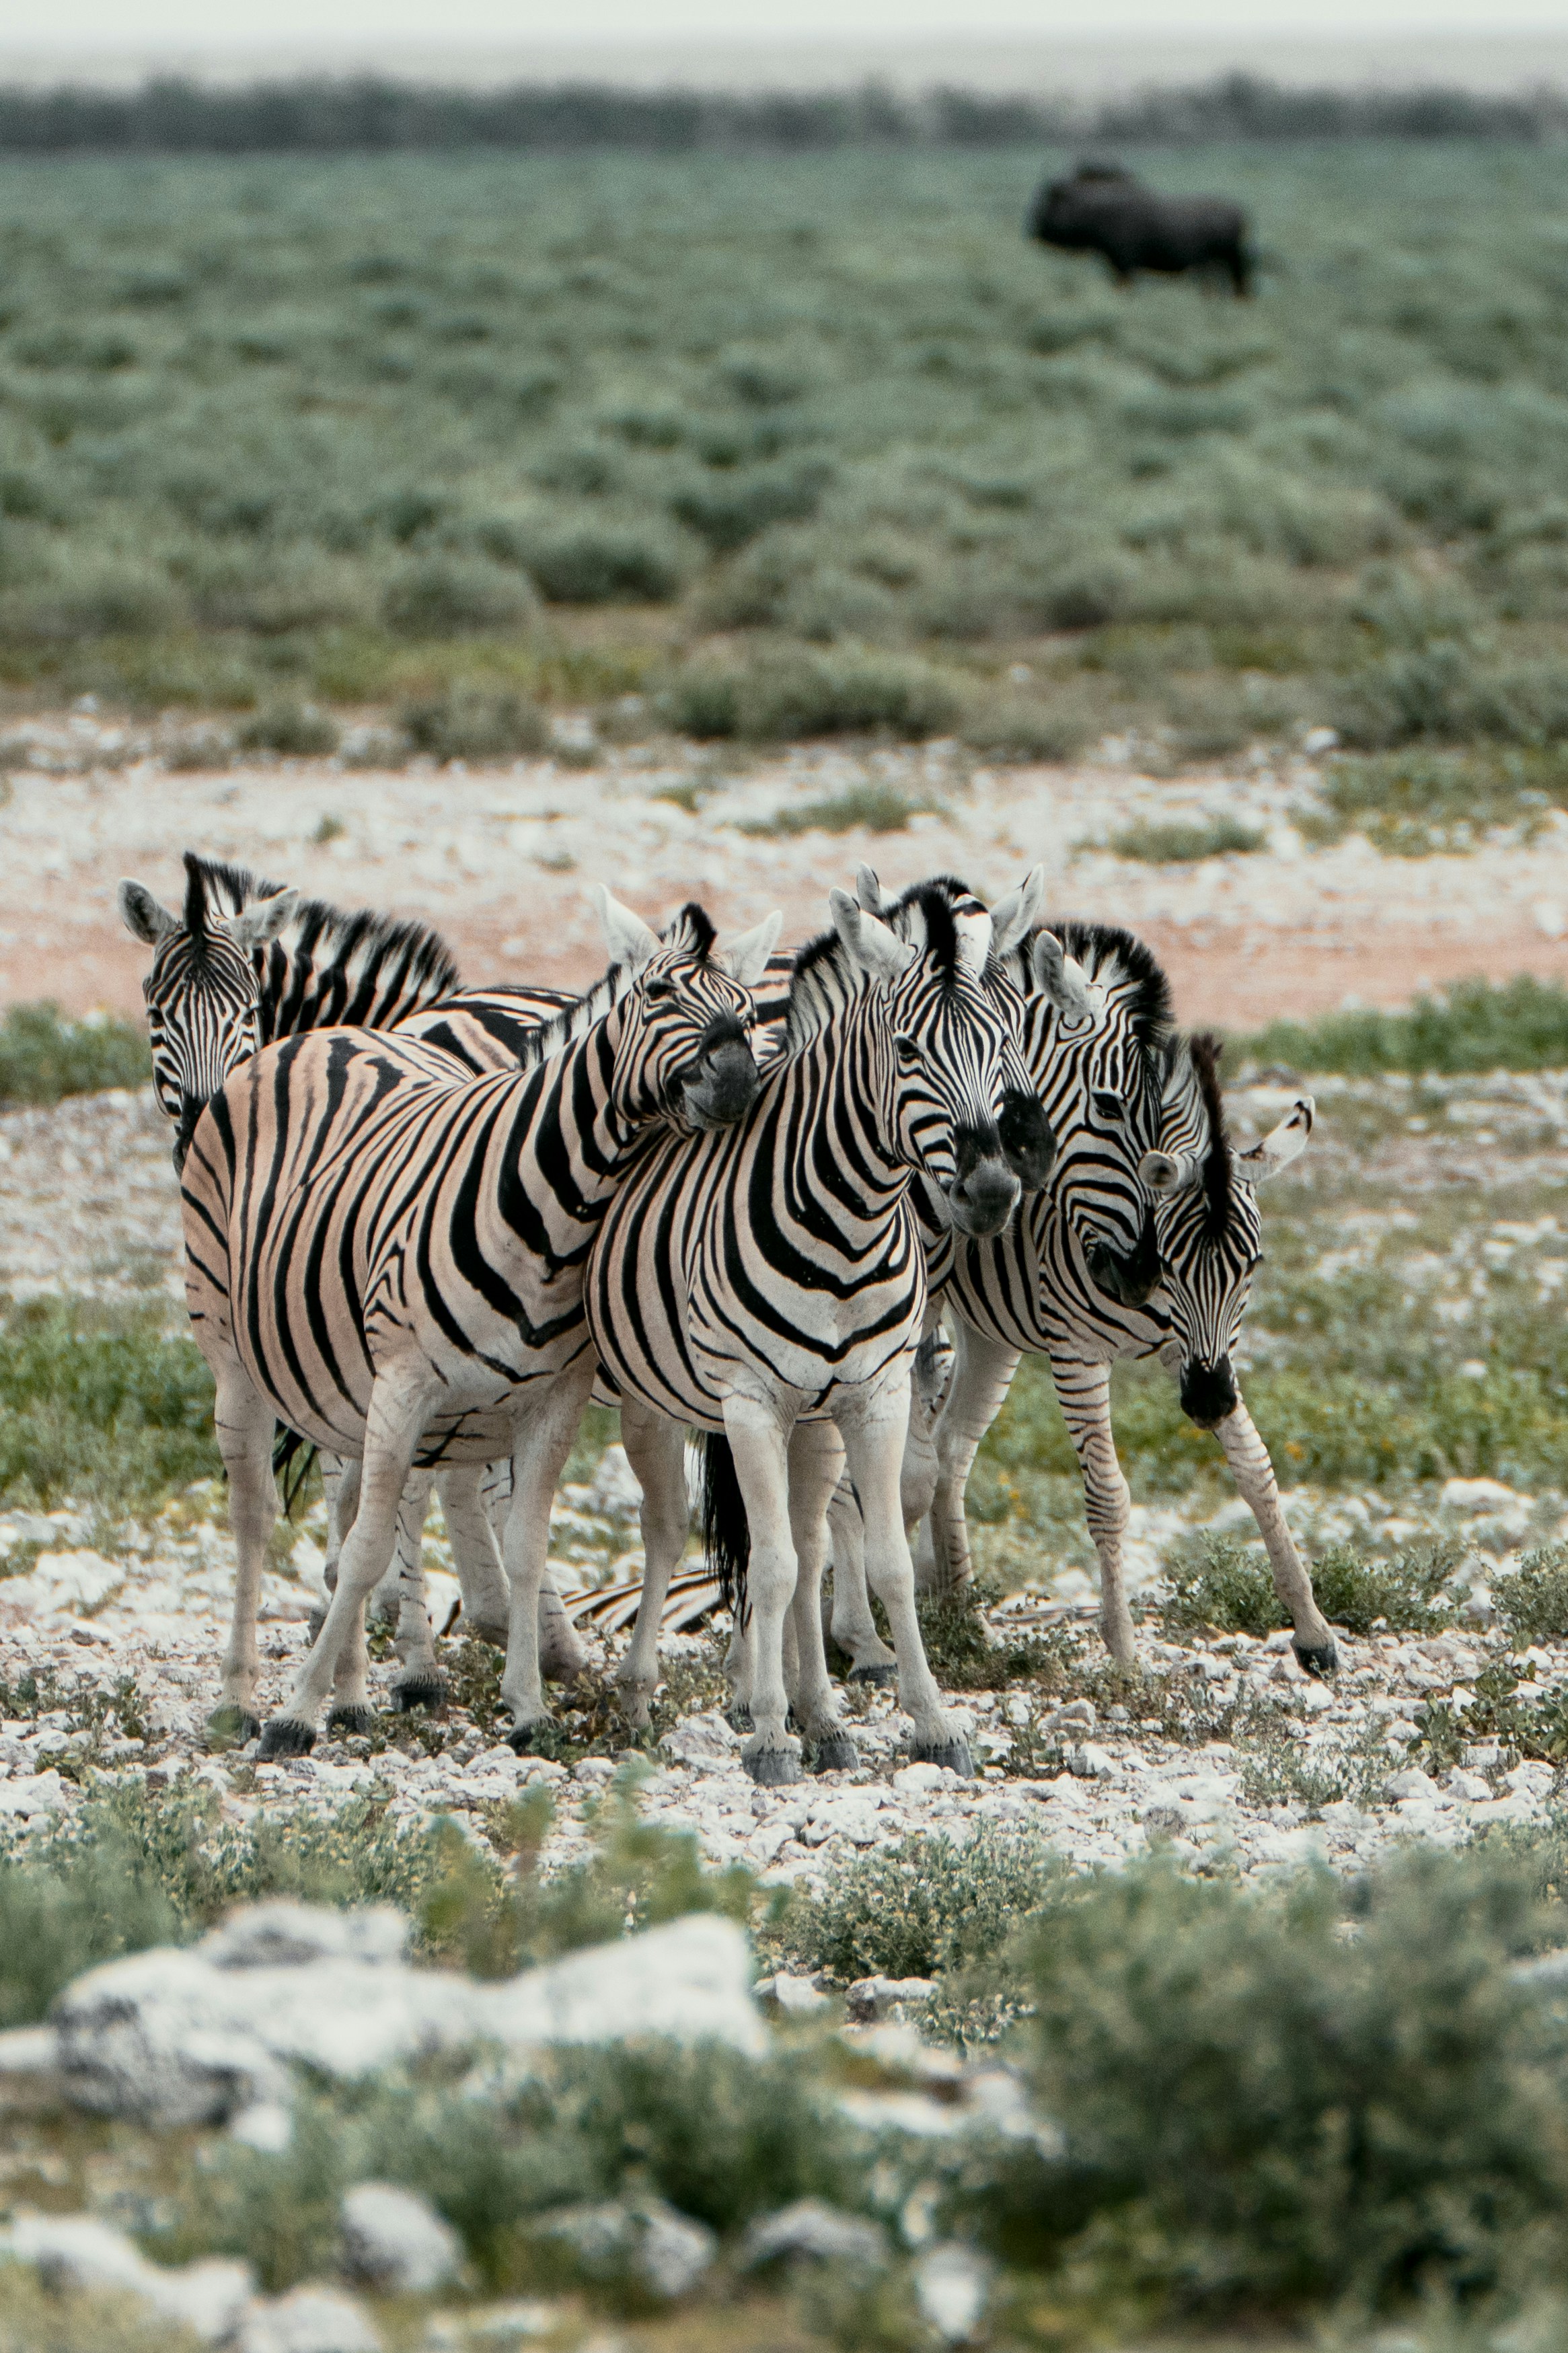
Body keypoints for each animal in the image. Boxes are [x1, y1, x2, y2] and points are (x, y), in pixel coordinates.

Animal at [179, 889, 776, 1753]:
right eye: (658, 994)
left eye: (747, 1010)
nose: (736, 1082)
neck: (560, 1217)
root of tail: (324, 1036)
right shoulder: (405, 1385)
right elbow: (368, 1551)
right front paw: (295, 1713)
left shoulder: (551, 1401)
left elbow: (523, 1547)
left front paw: (527, 1707)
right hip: (234, 1348)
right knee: (256, 1515)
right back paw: (242, 1697)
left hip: (340, 1387)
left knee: (346, 1513)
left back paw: (352, 1695)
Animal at [585, 876, 1049, 1786]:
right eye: (907, 1049)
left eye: (1009, 1039)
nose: (990, 1190)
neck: (849, 1226)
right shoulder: (751, 1402)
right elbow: (768, 1567)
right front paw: (769, 1736)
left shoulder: (872, 1394)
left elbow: (883, 1560)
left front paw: (931, 1721)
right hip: (657, 1402)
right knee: (670, 1533)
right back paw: (643, 1696)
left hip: (814, 1419)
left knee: (805, 1539)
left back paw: (818, 1715)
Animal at [832, 908, 1336, 1675]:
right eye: (1175, 1263)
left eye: (1251, 1265)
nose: (1207, 1403)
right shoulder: (1076, 1352)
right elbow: (1108, 1495)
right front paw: (1124, 1651)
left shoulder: (1191, 1350)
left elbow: (1256, 1468)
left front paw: (1311, 1628)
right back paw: (861, 1625)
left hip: (994, 1334)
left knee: (949, 1450)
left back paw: (960, 1611)